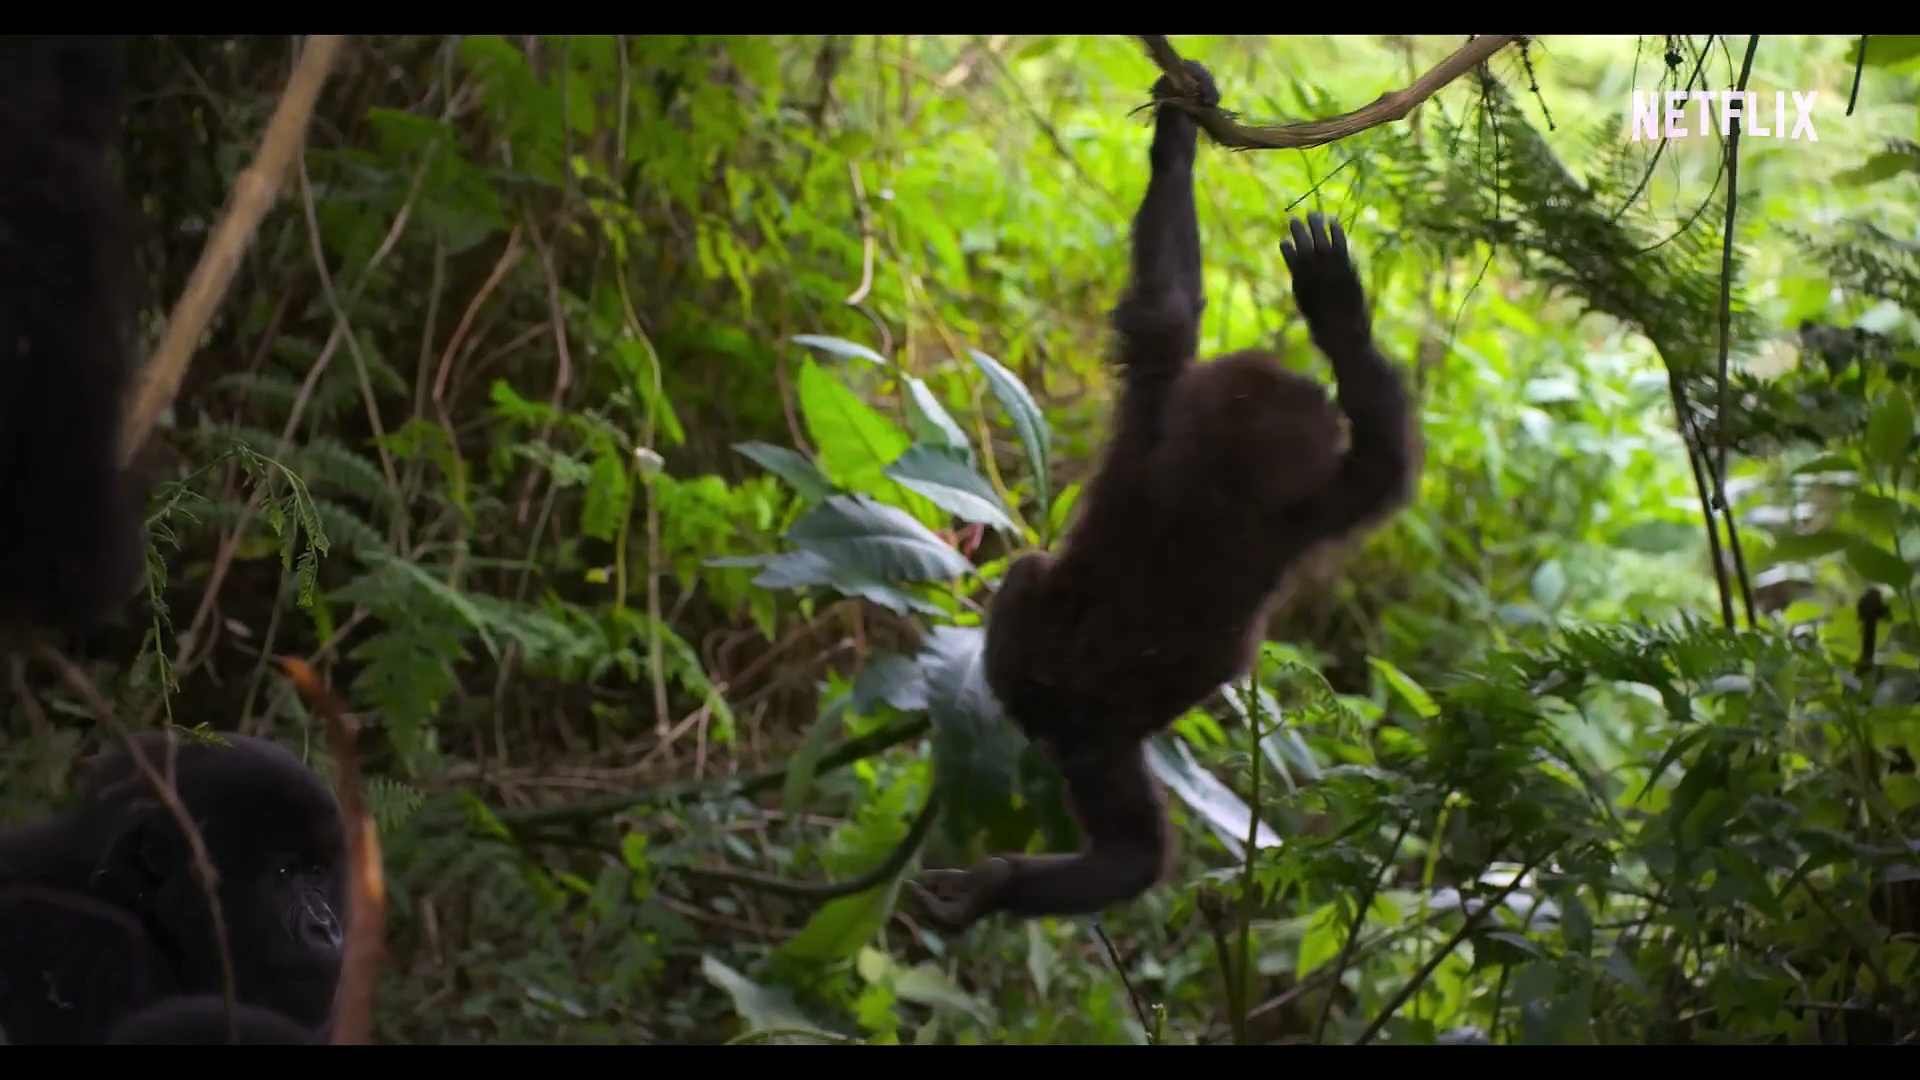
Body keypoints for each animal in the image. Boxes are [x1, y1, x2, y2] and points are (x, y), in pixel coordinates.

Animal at [913, 61, 1417, 930]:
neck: (1220, 475)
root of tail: (1058, 700)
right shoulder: (1280, 489)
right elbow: (1378, 455)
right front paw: (1338, 315)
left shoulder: (1173, 411)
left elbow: (1166, 306)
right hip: (1088, 716)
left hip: (1082, 724)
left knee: (1126, 846)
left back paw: (994, 883)